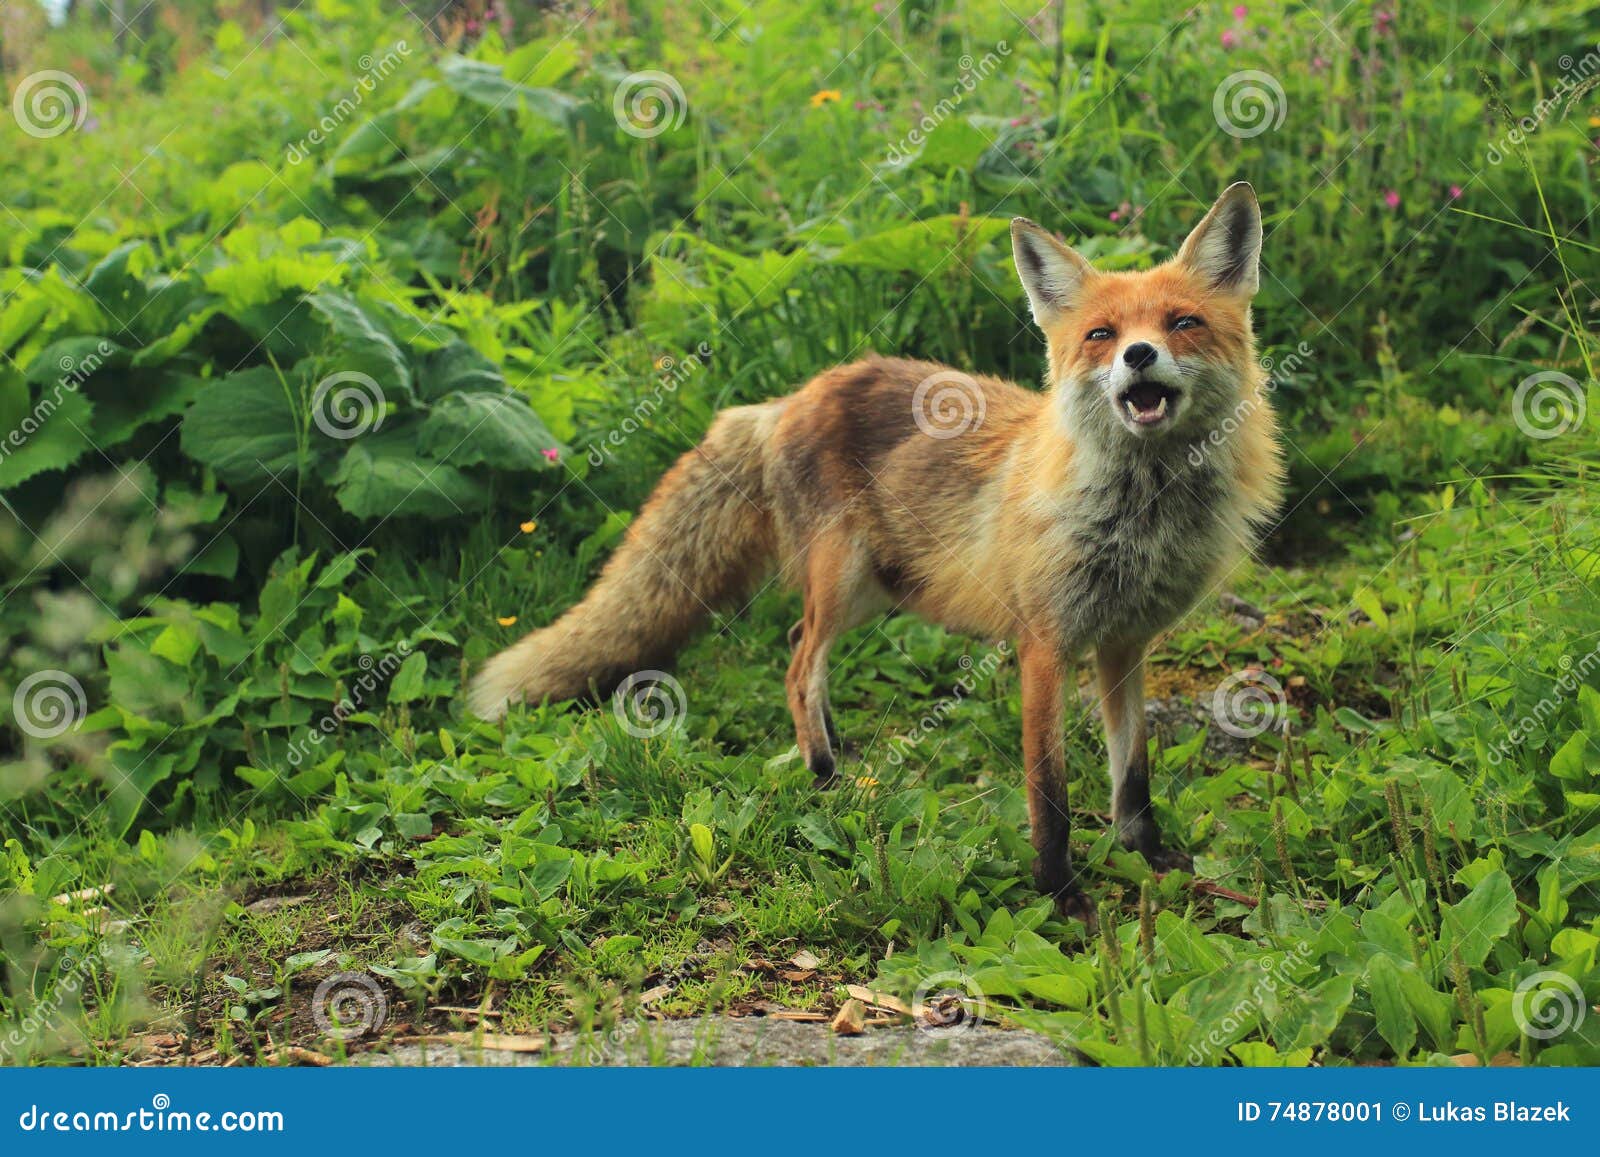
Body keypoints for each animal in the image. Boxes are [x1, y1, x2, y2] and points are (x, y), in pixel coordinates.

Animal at [470, 182, 1284, 914]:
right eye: (1101, 335)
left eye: (1182, 322)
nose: (1140, 354)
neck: (1139, 516)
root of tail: (785, 399)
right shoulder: (1044, 646)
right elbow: (1047, 794)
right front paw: (1062, 895)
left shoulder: (1123, 645)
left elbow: (1133, 775)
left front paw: (1147, 855)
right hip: (843, 577)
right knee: (799, 664)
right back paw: (824, 776)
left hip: (877, 588)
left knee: (800, 648)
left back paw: (838, 752)